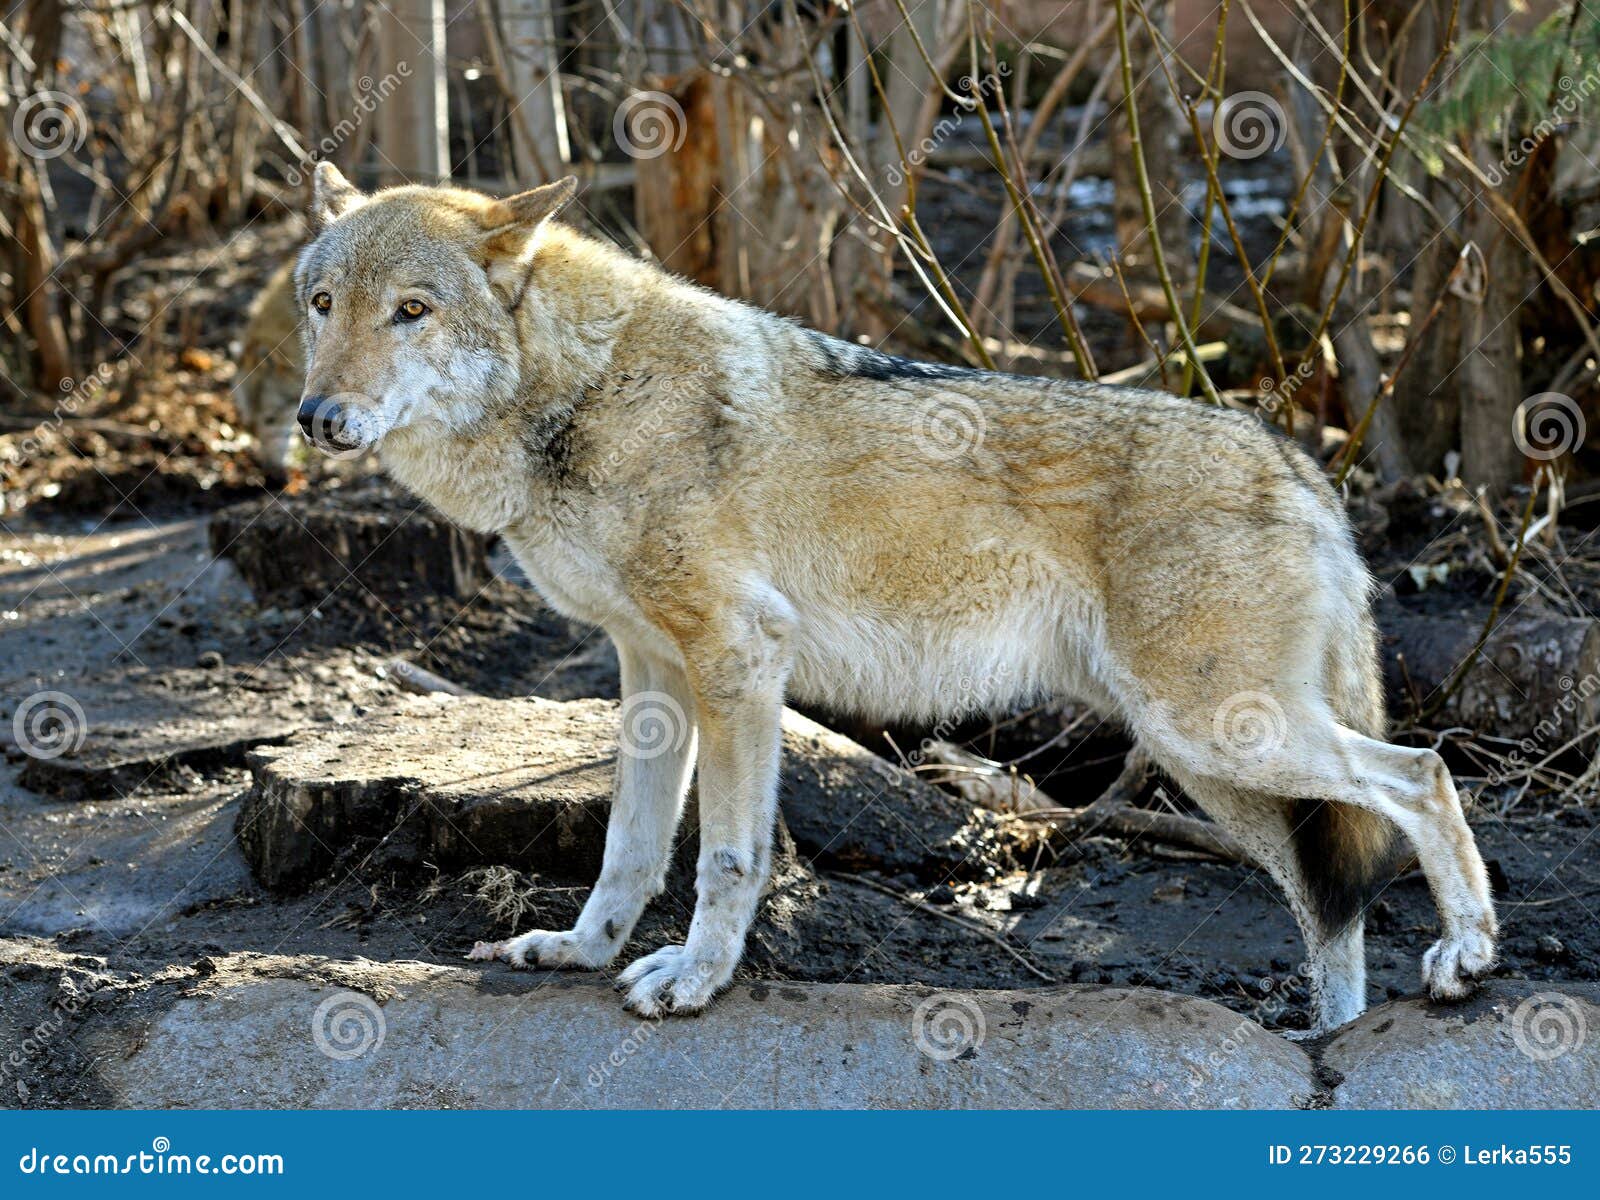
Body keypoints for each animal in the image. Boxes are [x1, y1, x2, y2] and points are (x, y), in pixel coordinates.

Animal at [293, 162, 1496, 1031]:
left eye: (411, 310)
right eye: (323, 304)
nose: (315, 417)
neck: (581, 395)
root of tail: (1301, 466)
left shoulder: (739, 659)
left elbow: (726, 857)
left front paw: (693, 981)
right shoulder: (652, 670)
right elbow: (626, 848)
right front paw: (583, 953)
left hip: (1221, 735)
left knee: (1423, 775)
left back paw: (1466, 955)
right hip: (1214, 768)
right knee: (1331, 892)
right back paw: (1329, 1041)